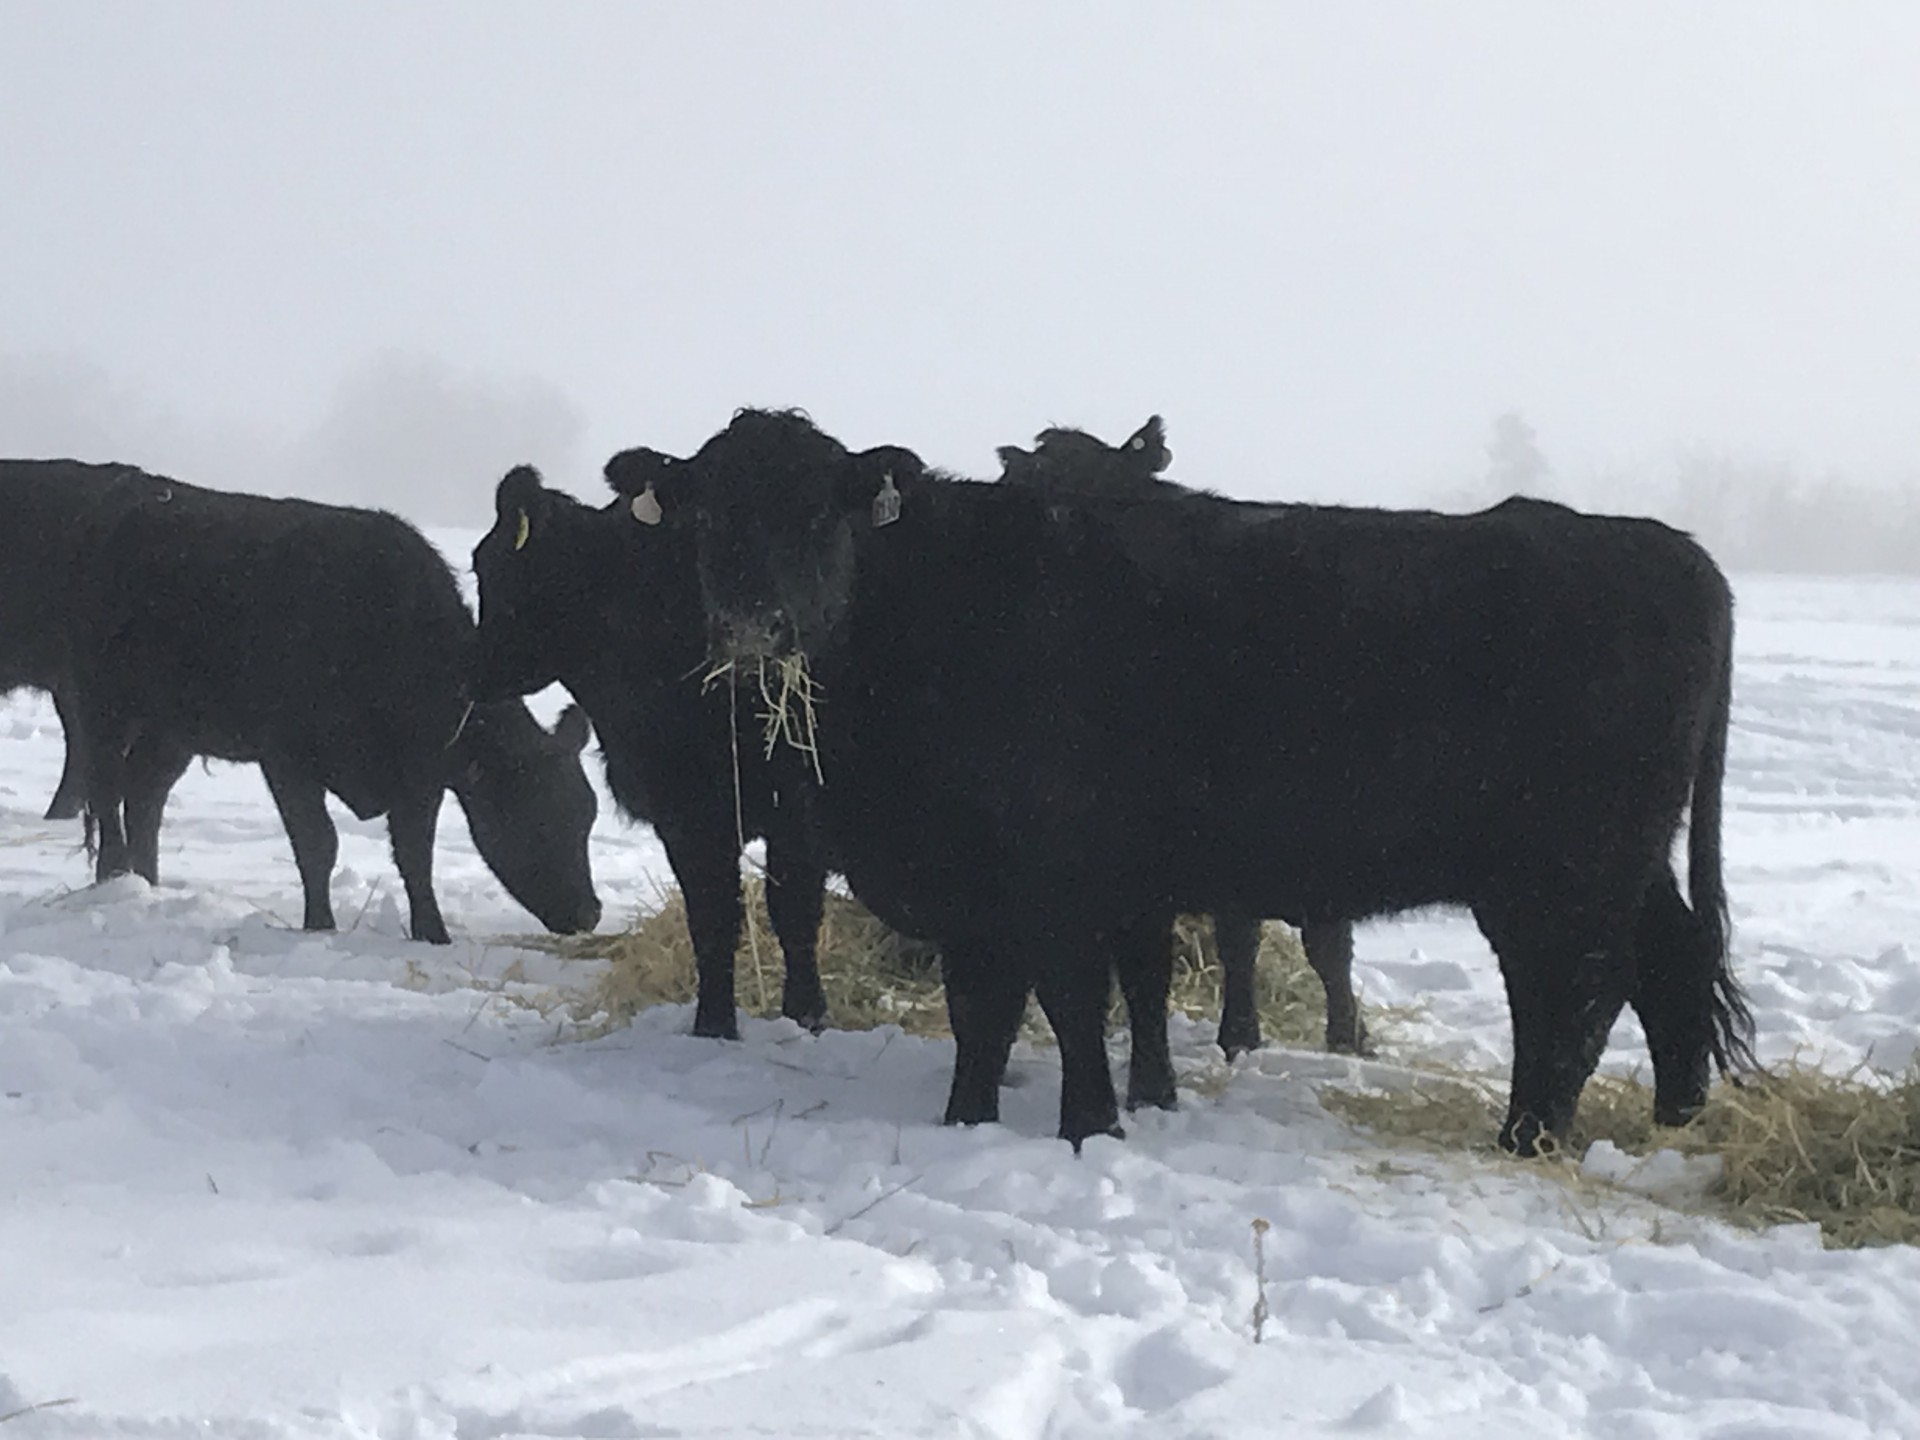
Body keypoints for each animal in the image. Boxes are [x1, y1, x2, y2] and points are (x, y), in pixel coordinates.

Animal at [58, 466, 603, 944]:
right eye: (537, 817)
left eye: (587, 816)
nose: (589, 913)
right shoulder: (286, 756)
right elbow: (318, 844)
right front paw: (319, 926)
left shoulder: (421, 775)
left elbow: (415, 854)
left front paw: (432, 934)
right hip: (104, 701)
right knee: (107, 789)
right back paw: (113, 878)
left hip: (173, 727)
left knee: (145, 794)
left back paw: (147, 885)